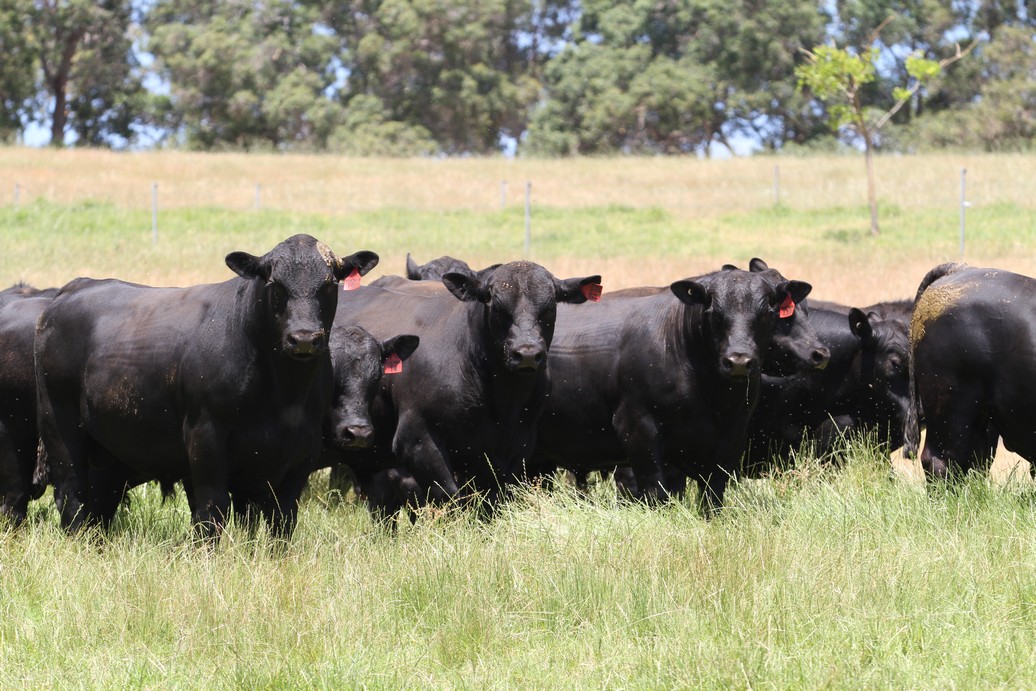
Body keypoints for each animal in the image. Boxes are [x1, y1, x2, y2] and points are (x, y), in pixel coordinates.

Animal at [34, 234, 378, 539]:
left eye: (329, 284)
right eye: (274, 283)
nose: (304, 337)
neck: (282, 394)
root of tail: (75, 287)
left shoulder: (303, 449)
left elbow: (282, 518)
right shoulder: (206, 436)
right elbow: (212, 510)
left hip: (109, 447)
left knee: (100, 499)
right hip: (60, 427)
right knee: (72, 494)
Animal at [332, 261, 602, 517]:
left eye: (551, 304)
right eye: (494, 302)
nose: (527, 353)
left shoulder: (516, 446)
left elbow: (492, 502)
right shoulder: (417, 440)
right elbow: (449, 497)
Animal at [531, 266, 814, 515]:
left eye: (767, 312)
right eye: (713, 311)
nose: (739, 361)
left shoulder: (732, 434)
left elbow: (713, 494)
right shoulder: (637, 429)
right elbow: (655, 492)